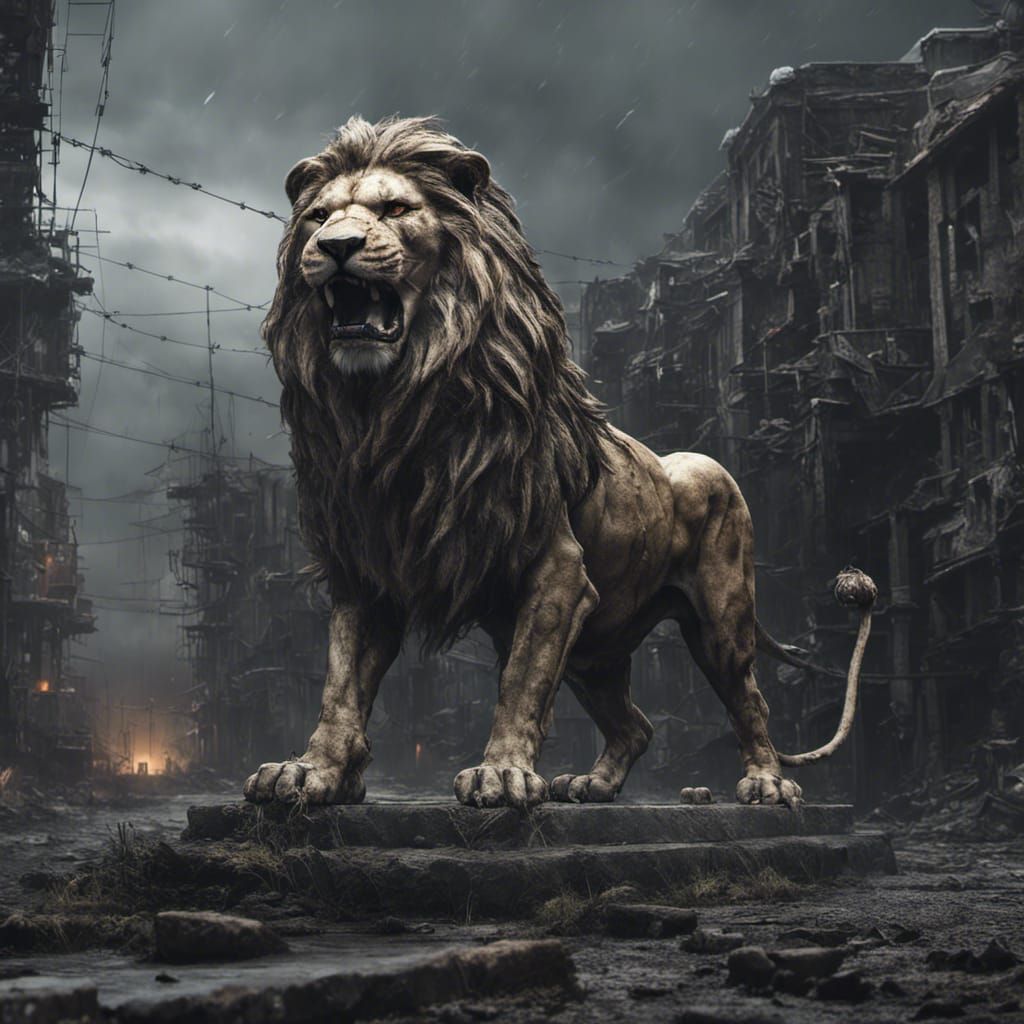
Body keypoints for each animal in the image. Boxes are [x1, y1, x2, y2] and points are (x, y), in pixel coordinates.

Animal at [245, 115, 876, 812]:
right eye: (318, 216)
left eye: (395, 209)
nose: (336, 246)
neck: (397, 410)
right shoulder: (366, 568)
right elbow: (341, 683)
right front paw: (313, 772)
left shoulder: (560, 573)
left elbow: (520, 684)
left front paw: (501, 774)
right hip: (595, 648)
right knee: (638, 724)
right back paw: (592, 784)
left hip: (719, 621)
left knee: (751, 701)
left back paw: (766, 782)